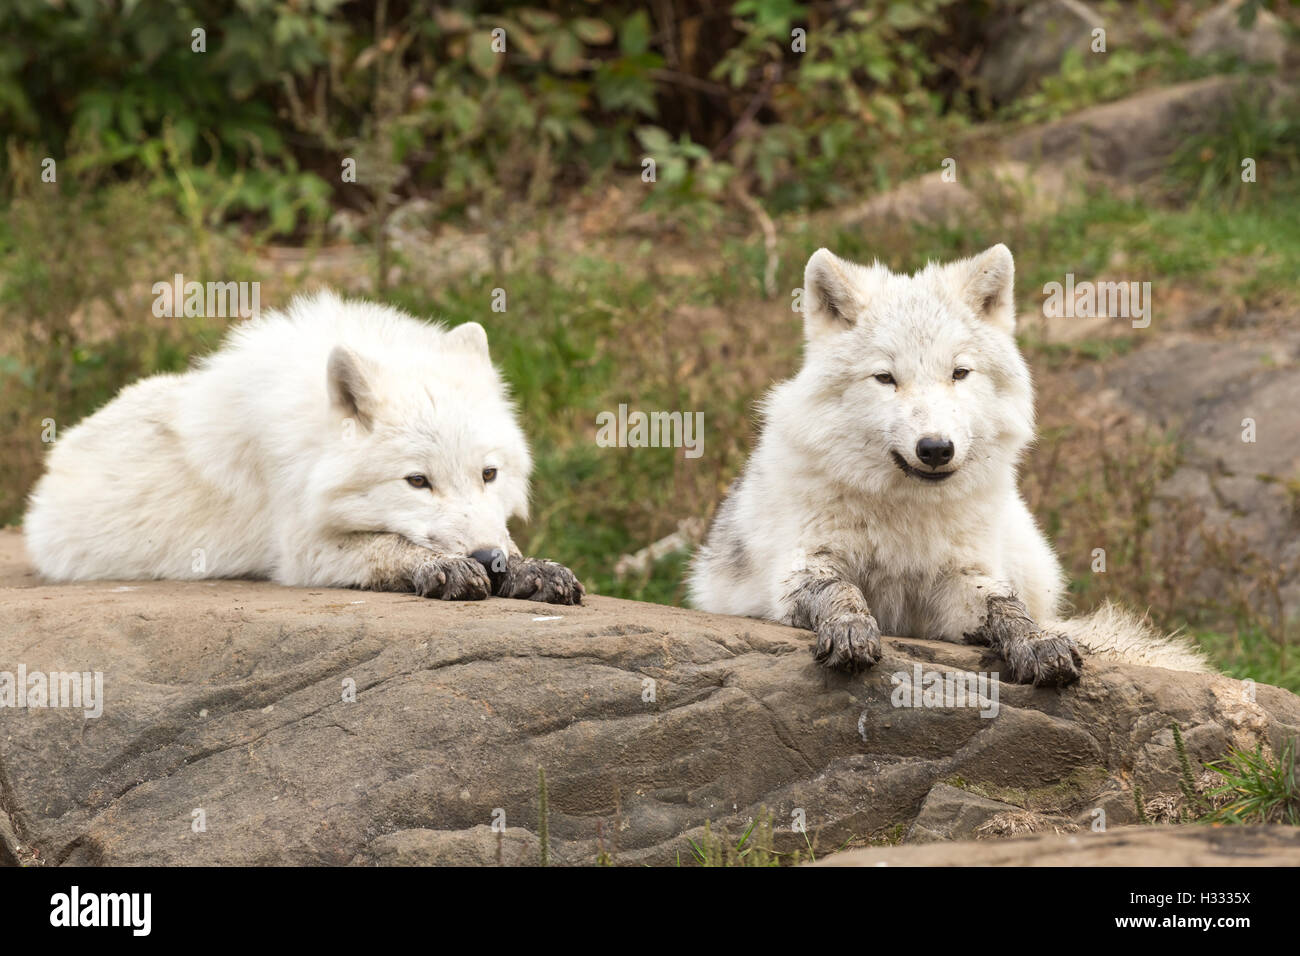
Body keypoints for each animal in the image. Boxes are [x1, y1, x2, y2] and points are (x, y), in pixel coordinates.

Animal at [25, 291, 583, 605]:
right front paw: (444, 568)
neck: (312, 445)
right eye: (417, 481)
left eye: (489, 474)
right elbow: (388, 545)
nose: (489, 561)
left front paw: (534, 568)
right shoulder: (299, 548)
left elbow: (509, 538)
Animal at [688, 244, 1206, 684]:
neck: (906, 516)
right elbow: (840, 590)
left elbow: (1005, 605)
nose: (936, 448)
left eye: (959, 373)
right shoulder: (798, 567)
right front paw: (852, 630)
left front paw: (1037, 643)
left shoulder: (959, 583)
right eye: (885, 378)